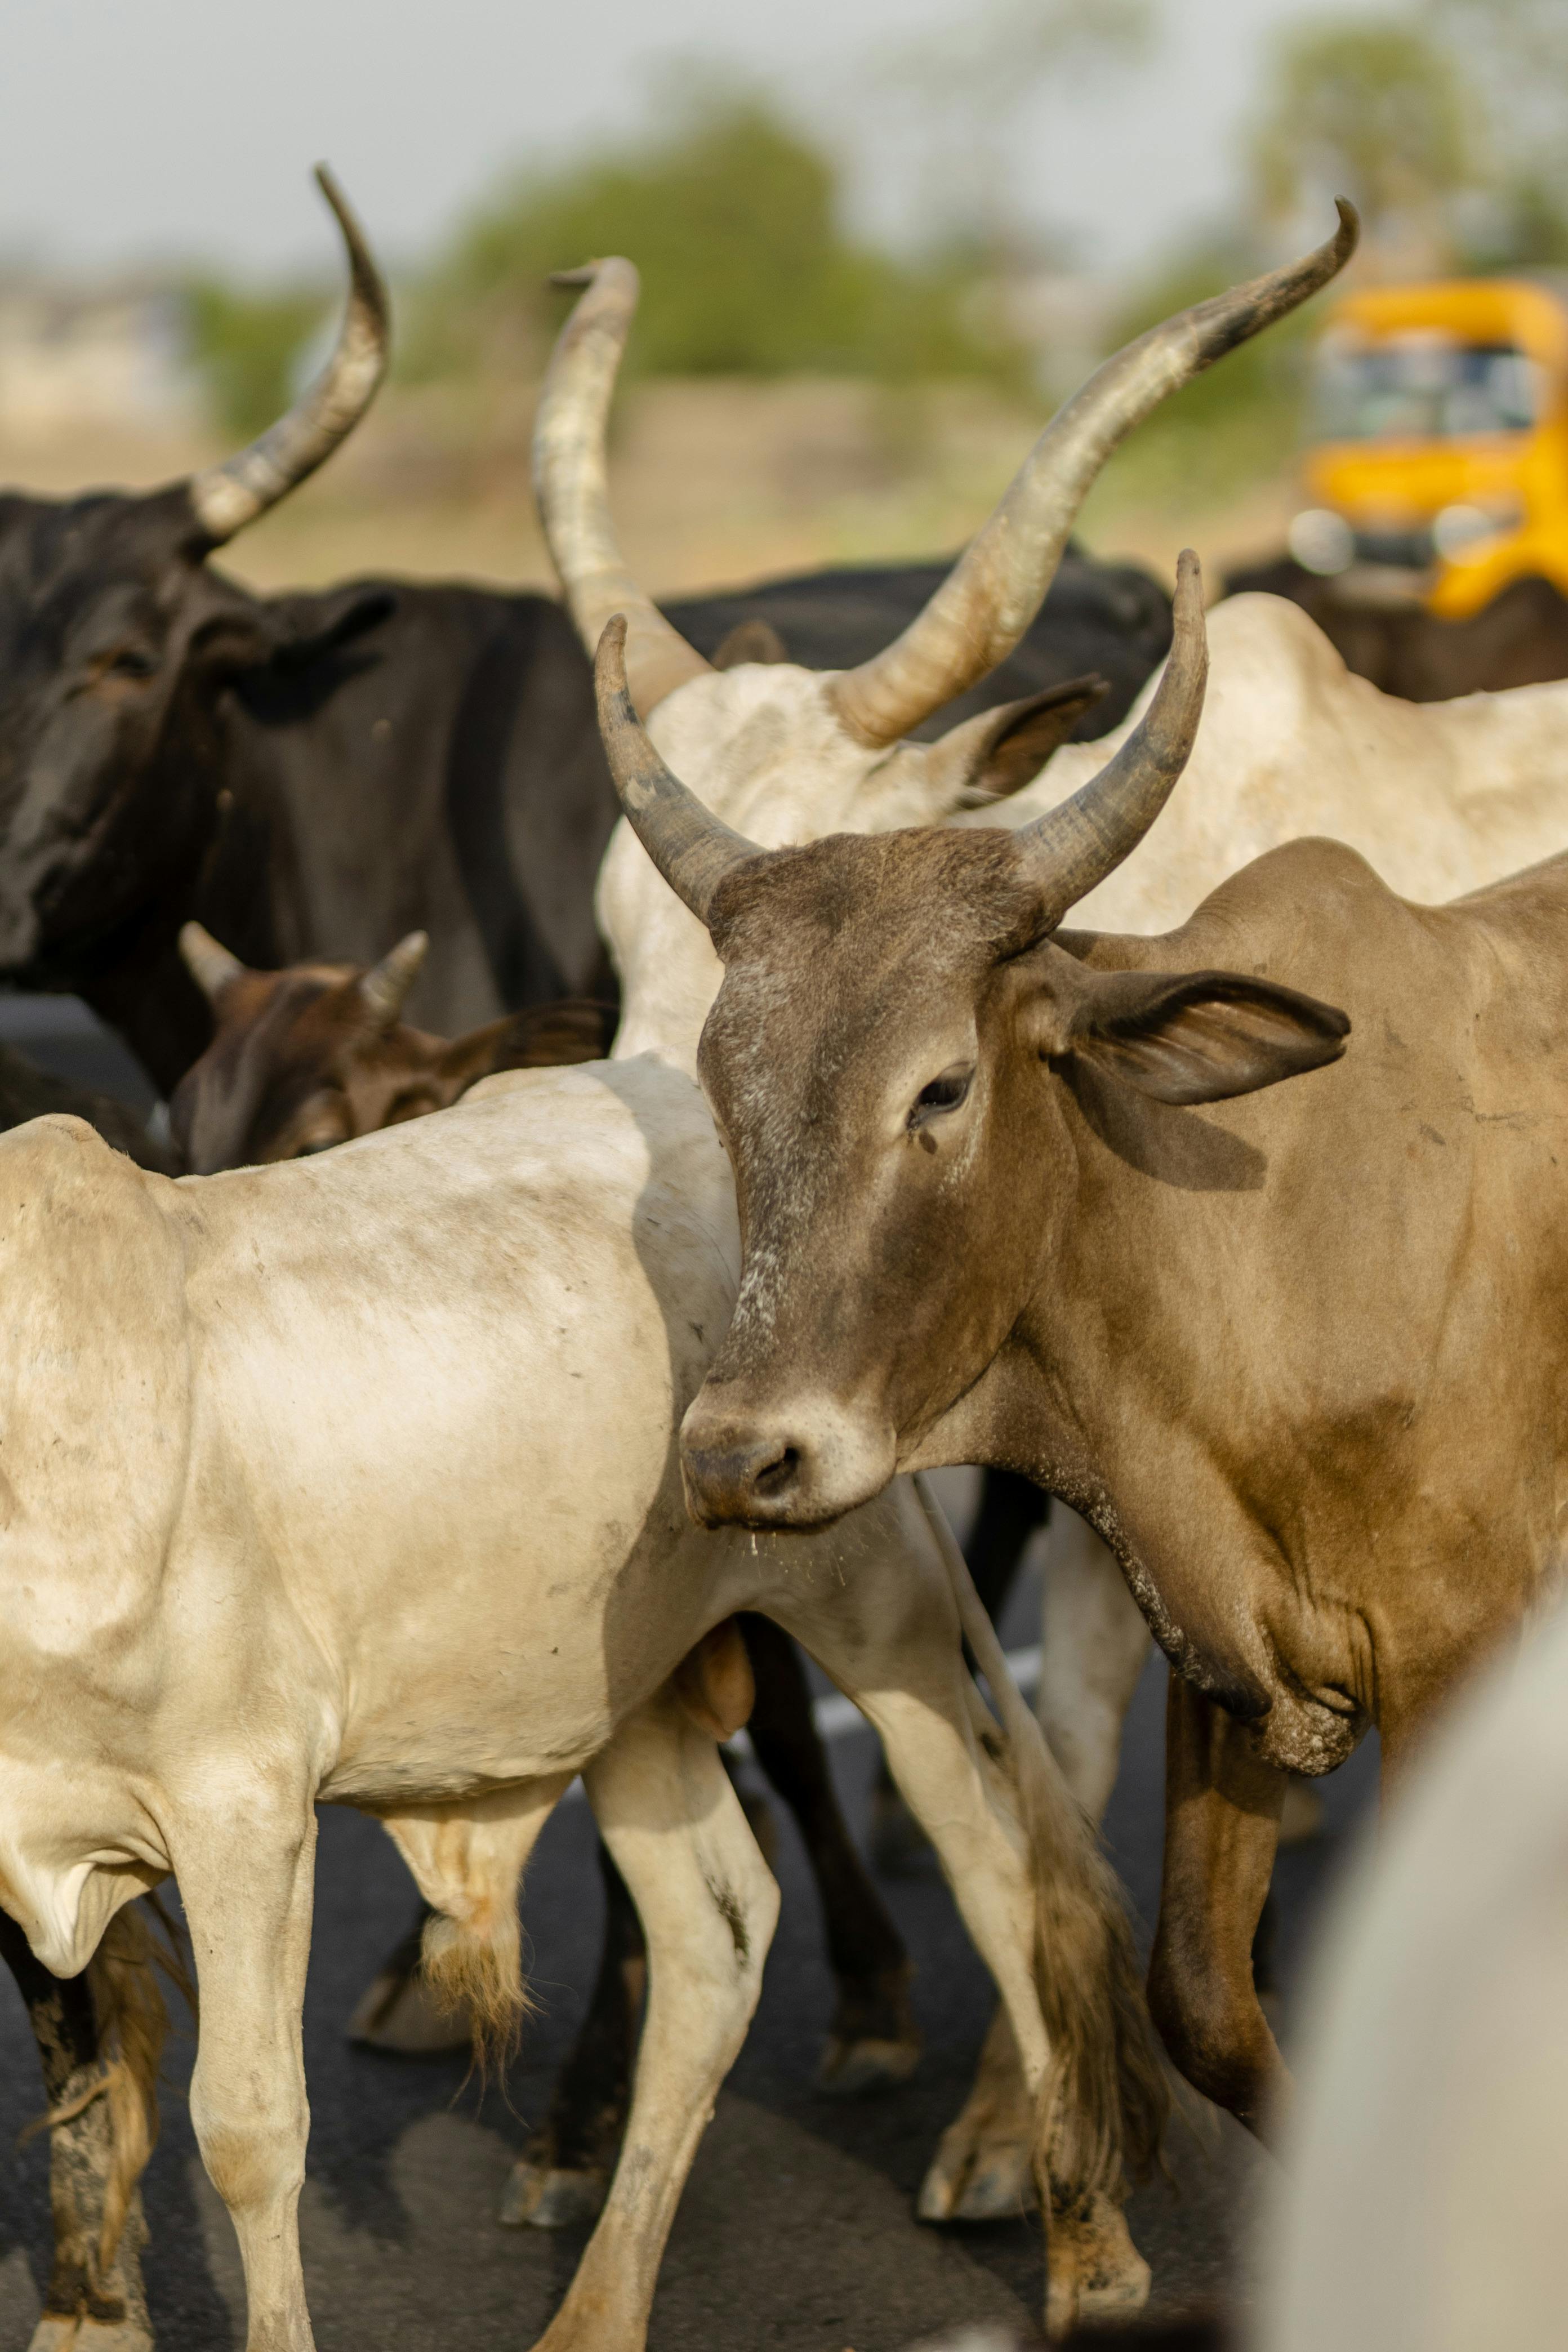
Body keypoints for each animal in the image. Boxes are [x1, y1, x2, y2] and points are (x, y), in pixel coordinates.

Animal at [0, 1065, 1162, 2348]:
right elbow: (87, 2077)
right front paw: (91, 2315)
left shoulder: (242, 1803)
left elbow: (248, 2128)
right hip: (629, 1697)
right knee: (718, 1936)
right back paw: (600, 2310)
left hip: (875, 1602)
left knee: (999, 1876)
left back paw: (1087, 2248)